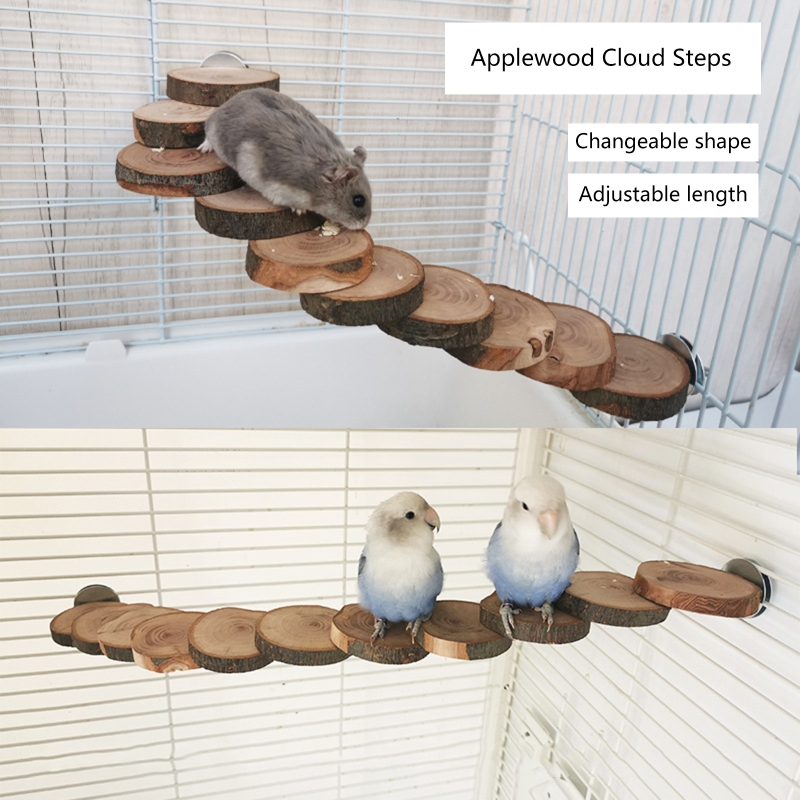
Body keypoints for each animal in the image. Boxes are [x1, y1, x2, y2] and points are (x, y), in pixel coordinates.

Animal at [198, 88, 371, 230]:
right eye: (358, 200)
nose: (364, 225)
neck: (315, 183)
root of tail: (227, 103)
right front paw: (300, 210)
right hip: (211, 129)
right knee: (207, 136)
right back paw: (204, 149)